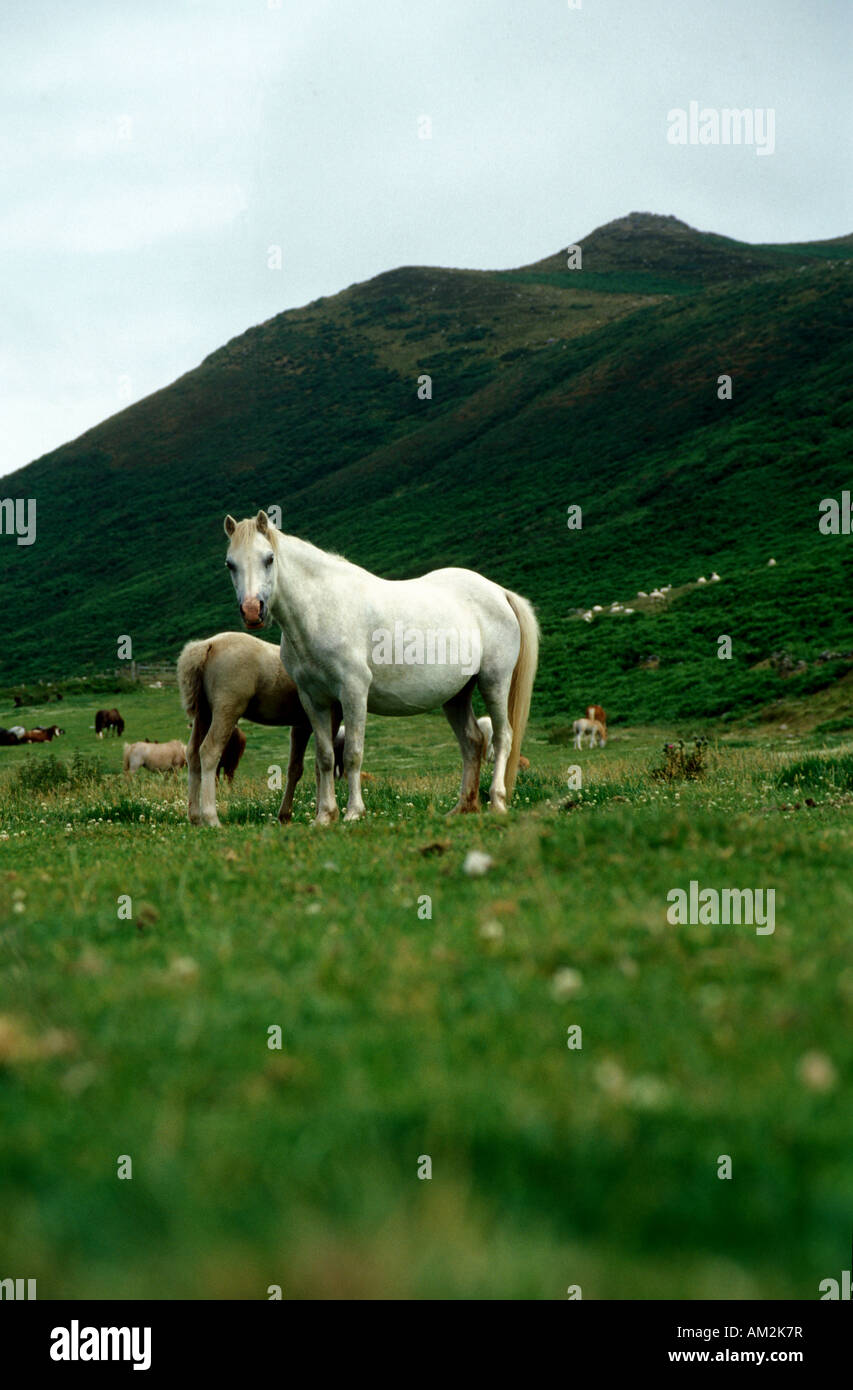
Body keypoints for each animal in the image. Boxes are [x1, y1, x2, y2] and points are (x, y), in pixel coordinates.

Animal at [177, 631, 340, 828]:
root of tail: (209, 645)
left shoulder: (301, 726)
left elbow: (296, 768)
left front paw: (287, 815)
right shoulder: (331, 718)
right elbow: (322, 763)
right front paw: (325, 813)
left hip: (203, 715)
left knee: (193, 754)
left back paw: (195, 818)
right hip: (226, 711)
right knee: (209, 751)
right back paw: (211, 818)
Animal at [223, 511, 539, 824]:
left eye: (269, 558)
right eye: (230, 564)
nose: (252, 611)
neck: (323, 610)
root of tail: (499, 593)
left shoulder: (353, 692)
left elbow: (352, 754)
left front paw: (353, 812)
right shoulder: (314, 699)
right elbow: (325, 757)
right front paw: (324, 815)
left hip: (494, 682)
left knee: (502, 737)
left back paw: (497, 801)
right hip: (457, 696)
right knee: (472, 742)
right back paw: (463, 807)